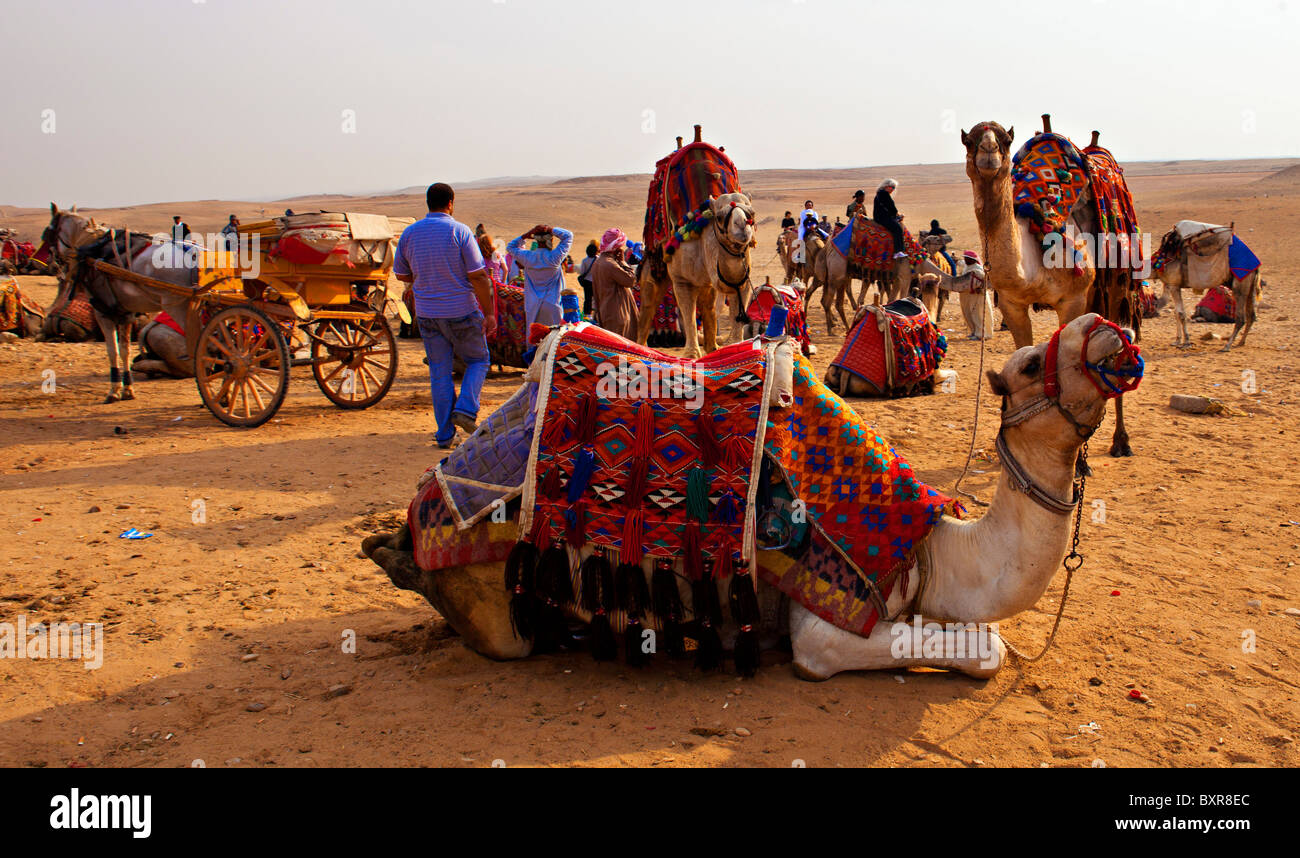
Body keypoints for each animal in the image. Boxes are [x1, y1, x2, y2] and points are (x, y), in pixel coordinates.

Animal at [43, 204, 195, 402]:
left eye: (48, 233)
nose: (51, 264)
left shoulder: (103, 312)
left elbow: (112, 350)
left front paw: (114, 391)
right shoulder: (126, 313)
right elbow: (124, 349)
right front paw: (128, 389)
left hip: (179, 308)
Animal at [363, 313, 1139, 680]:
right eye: (1031, 363)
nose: (1112, 333)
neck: (930, 557)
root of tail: (416, 518)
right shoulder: (823, 622)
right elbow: (987, 650)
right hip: (493, 604)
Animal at [636, 193, 756, 359]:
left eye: (752, 213)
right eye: (719, 217)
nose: (742, 226)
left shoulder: (740, 280)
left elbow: (737, 309)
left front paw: (739, 348)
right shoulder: (682, 280)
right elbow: (688, 314)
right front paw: (692, 354)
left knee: (708, 304)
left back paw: (713, 347)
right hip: (655, 267)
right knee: (649, 304)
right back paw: (642, 347)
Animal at [961, 120, 1136, 457]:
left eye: (1005, 141)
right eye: (969, 142)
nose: (988, 151)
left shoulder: (1072, 299)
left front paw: (1080, 456)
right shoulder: (1012, 304)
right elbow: (1022, 352)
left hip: (1115, 281)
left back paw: (1121, 441)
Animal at [1151, 222, 1263, 352]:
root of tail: (1256, 267)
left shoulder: (1174, 285)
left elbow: (1181, 313)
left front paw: (1186, 342)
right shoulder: (1171, 285)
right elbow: (1176, 313)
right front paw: (1177, 341)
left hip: (1240, 283)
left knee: (1241, 317)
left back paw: (1227, 345)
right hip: (1249, 286)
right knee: (1252, 315)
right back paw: (1240, 342)